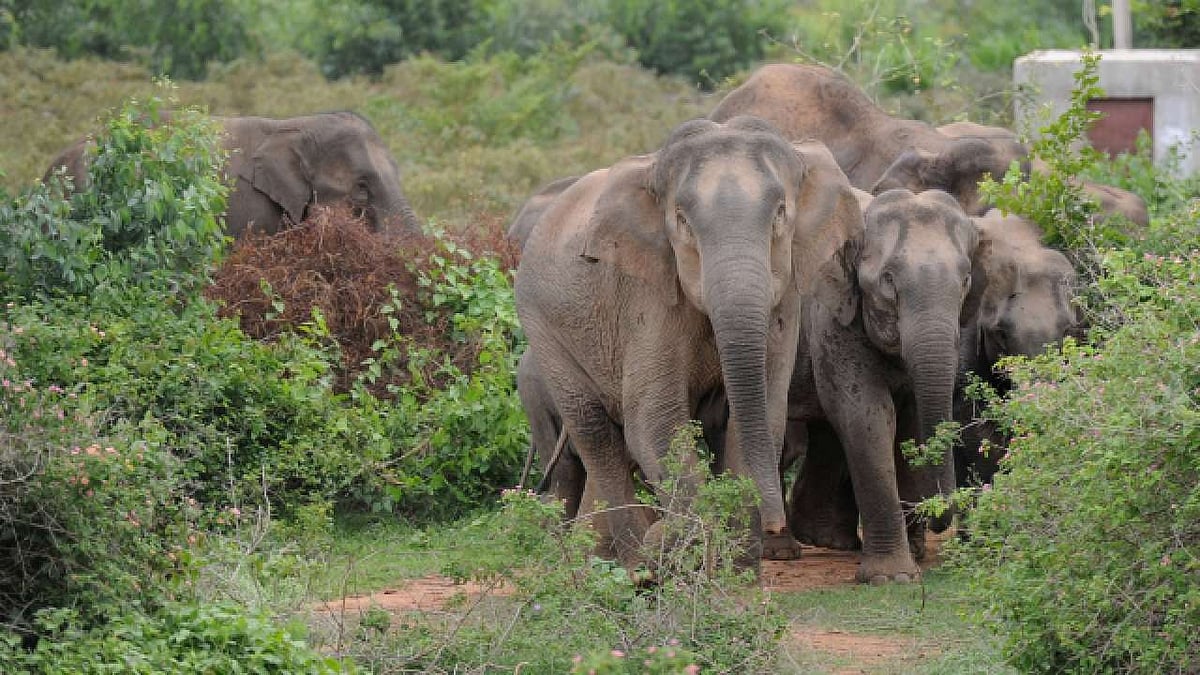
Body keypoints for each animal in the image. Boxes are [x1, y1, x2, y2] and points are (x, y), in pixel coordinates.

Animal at [513, 116, 863, 574]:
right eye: (681, 221)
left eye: (780, 214)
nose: (774, 524)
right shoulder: (649, 296)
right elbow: (655, 423)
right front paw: (693, 552)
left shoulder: (786, 297)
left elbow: (762, 414)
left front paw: (738, 572)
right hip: (544, 330)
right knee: (595, 434)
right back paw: (632, 564)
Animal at [784, 188, 982, 582]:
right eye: (888, 279)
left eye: (966, 279)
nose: (940, 519)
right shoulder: (833, 315)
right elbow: (869, 415)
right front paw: (892, 577)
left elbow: (911, 421)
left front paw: (916, 553)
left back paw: (828, 540)